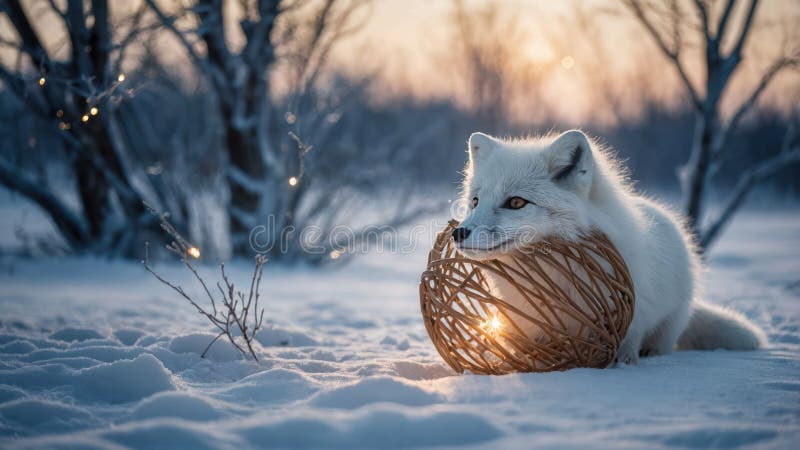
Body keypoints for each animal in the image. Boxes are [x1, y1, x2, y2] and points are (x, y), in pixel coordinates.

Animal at [452, 130, 767, 364]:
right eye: (476, 201)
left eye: (516, 202)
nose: (459, 233)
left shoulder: (631, 315)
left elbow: (626, 343)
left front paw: (621, 364)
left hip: (672, 320)